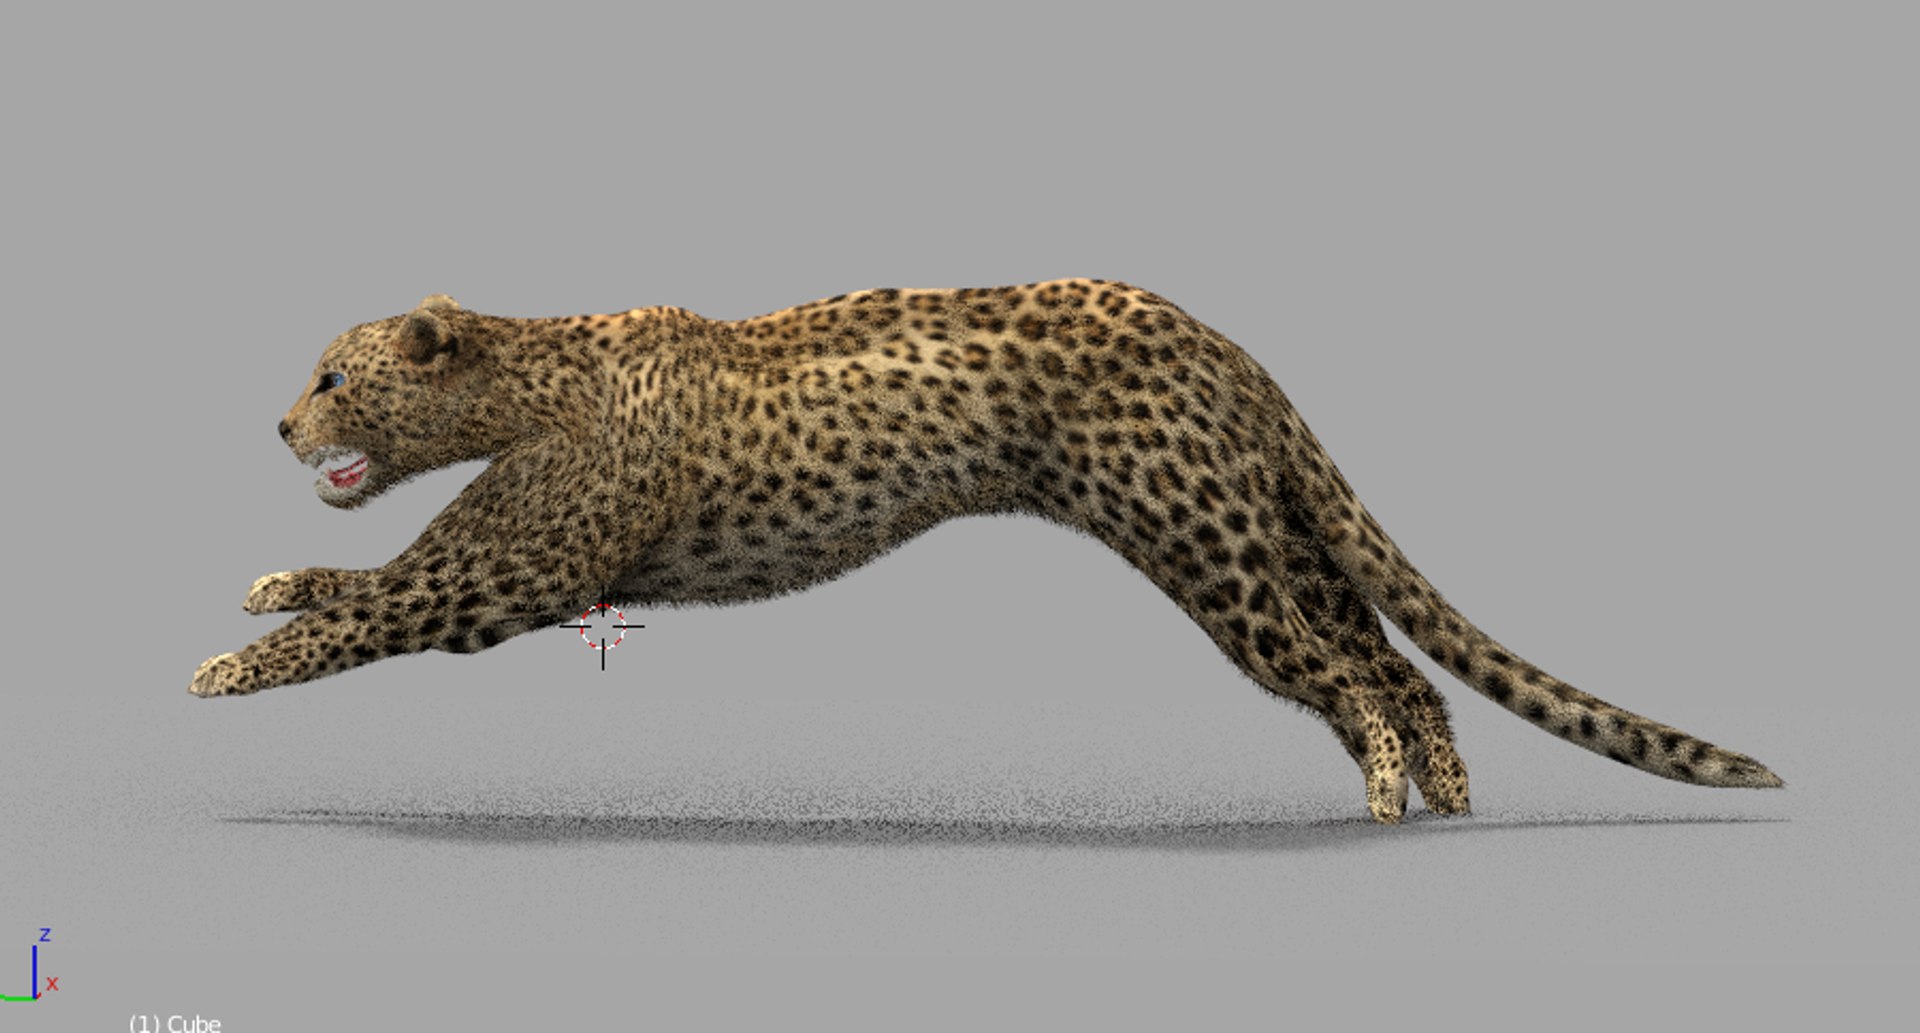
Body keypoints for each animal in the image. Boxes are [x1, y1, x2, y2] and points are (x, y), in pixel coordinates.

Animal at [191, 280, 1783, 823]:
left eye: (331, 376)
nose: (275, 422)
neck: (521, 380)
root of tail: (1219, 336)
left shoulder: (501, 582)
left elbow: (363, 613)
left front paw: (220, 667)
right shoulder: (495, 564)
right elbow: (352, 582)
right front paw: (268, 581)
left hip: (1213, 550)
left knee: (1349, 673)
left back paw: (1393, 794)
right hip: (1258, 528)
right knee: (1397, 667)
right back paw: (1440, 800)